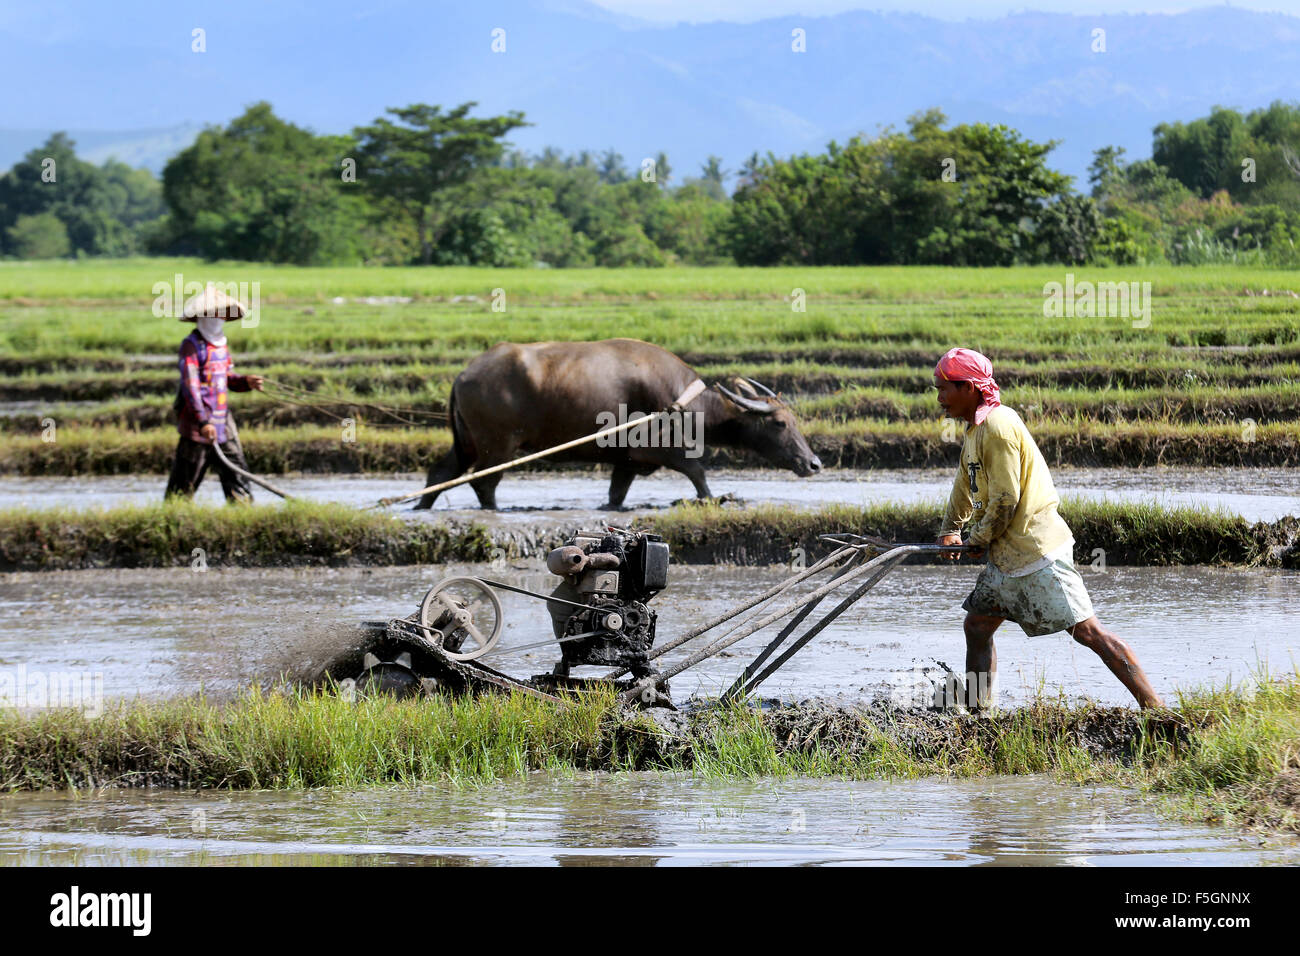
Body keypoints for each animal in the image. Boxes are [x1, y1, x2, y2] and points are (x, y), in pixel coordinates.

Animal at [414, 338, 821, 510]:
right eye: (780, 423)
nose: (814, 463)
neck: (683, 401)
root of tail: (464, 375)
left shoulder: (625, 463)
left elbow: (615, 495)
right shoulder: (661, 449)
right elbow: (698, 474)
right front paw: (714, 500)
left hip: (467, 444)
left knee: (441, 473)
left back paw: (420, 507)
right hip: (497, 447)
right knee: (484, 483)